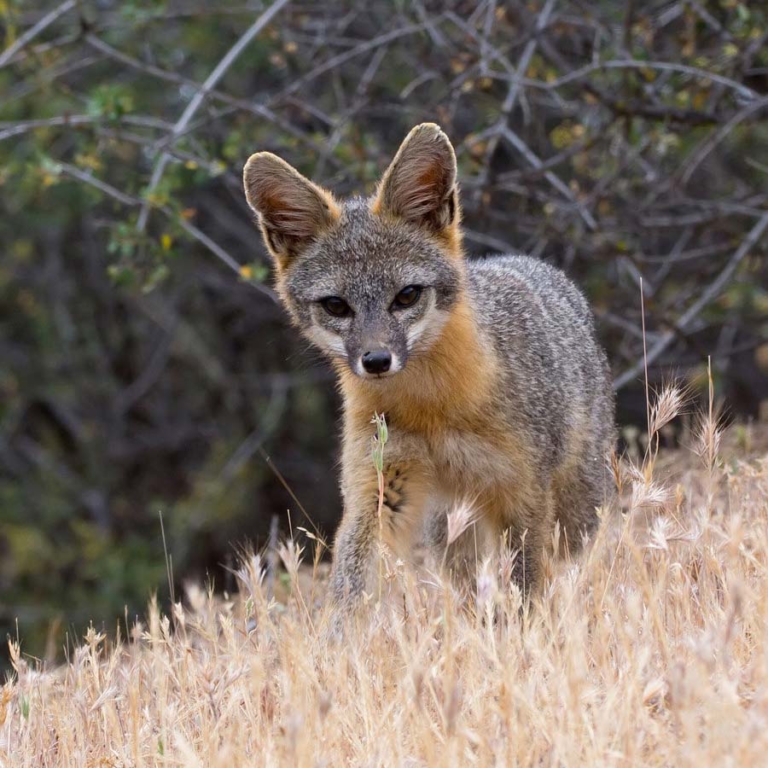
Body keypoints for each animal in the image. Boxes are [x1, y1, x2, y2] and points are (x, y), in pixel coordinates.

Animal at [243, 123, 615, 618]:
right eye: (336, 306)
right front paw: (339, 636)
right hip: (450, 528)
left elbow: (526, 584)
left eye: (406, 296)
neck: (432, 409)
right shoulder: (378, 489)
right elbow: (351, 582)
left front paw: (527, 630)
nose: (376, 361)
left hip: (573, 505)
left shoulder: (523, 494)